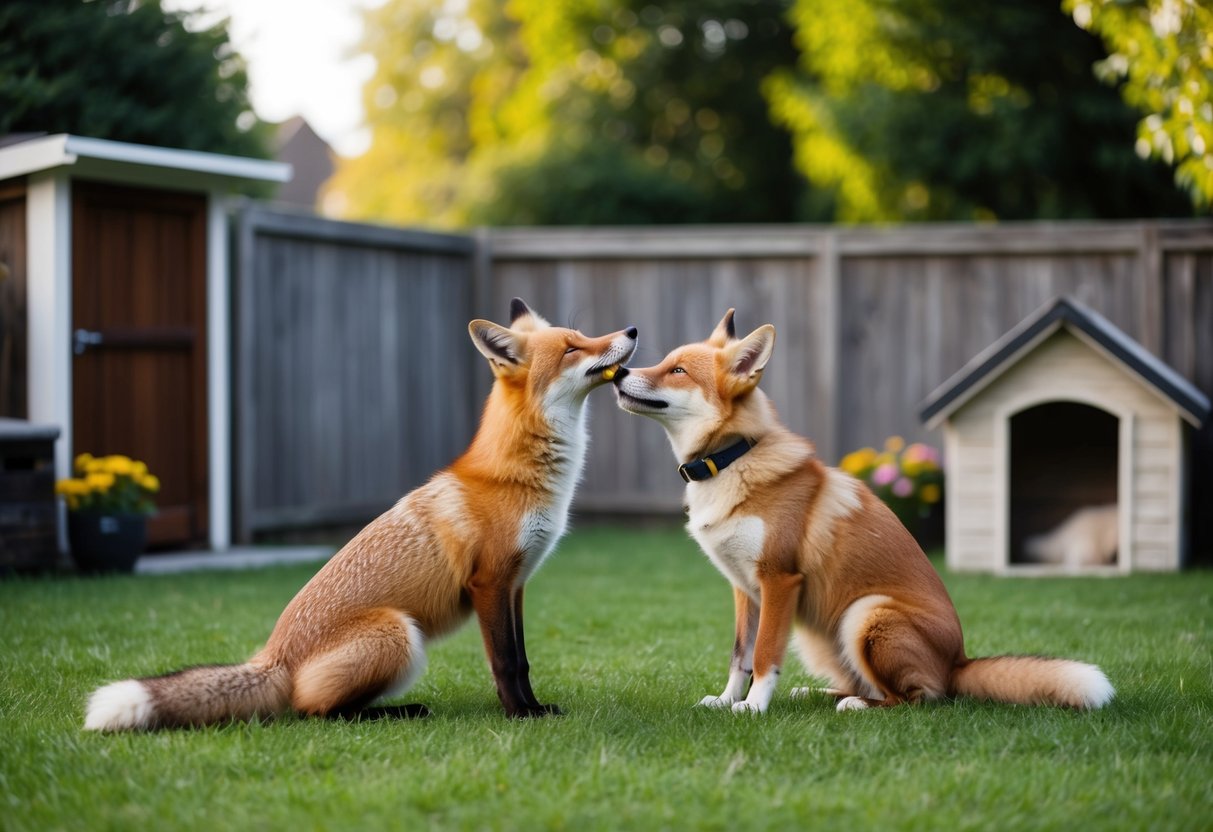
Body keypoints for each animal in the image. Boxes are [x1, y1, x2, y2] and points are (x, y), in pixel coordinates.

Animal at [84, 299, 637, 730]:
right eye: (572, 348)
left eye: (583, 336)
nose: (630, 332)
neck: (517, 476)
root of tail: (274, 656)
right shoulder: (490, 582)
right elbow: (504, 662)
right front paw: (520, 716)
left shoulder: (516, 583)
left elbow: (521, 660)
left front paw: (534, 708)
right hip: (399, 634)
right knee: (313, 710)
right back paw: (397, 713)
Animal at [612, 308, 1113, 714]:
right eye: (663, 361)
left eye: (677, 370)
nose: (620, 372)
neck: (733, 460)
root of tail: (959, 662)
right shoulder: (744, 590)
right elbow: (740, 658)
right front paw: (725, 701)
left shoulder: (779, 580)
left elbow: (764, 657)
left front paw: (753, 709)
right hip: (822, 636)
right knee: (867, 685)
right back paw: (817, 694)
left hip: (864, 615)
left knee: (914, 699)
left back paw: (854, 707)